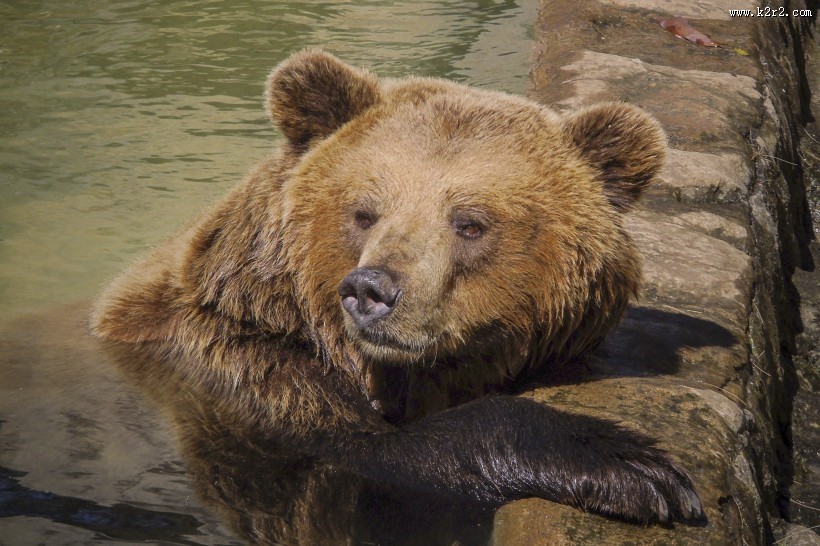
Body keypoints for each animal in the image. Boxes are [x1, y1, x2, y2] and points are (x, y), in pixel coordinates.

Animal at [91, 49, 704, 528]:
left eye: (470, 223)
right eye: (364, 212)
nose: (371, 290)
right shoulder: (246, 373)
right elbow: (394, 450)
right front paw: (637, 466)